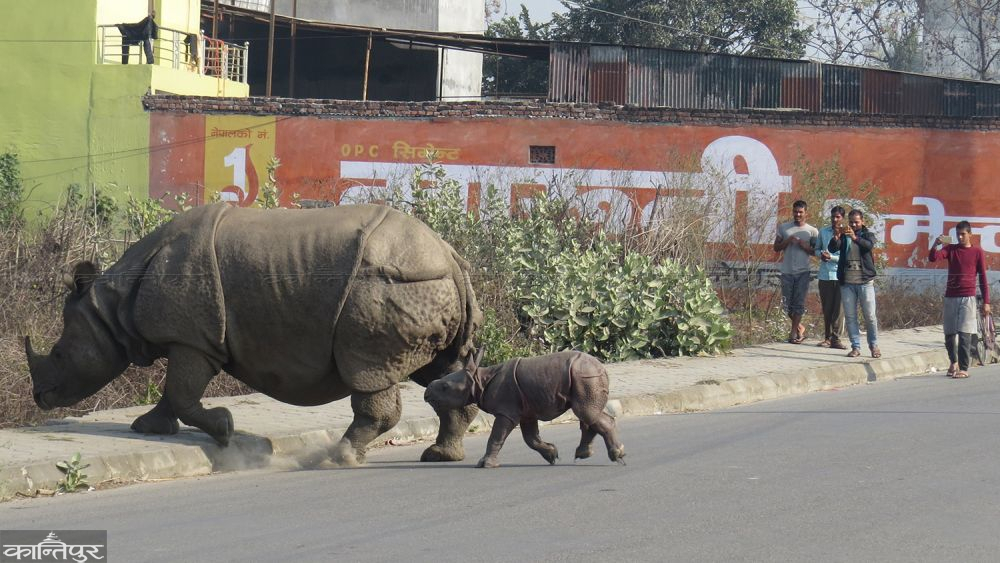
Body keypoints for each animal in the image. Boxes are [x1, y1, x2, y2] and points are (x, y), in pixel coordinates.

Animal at [25, 203, 482, 466]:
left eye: (59, 355)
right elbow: (174, 394)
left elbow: (183, 393)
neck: (111, 305)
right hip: (426, 284)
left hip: (387, 287)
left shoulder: (193, 338)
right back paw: (440, 456)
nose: (39, 396)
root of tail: (450, 256)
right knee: (445, 371)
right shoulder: (191, 338)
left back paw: (336, 458)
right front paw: (148, 428)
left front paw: (224, 430)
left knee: (367, 370)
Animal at [424, 349, 625, 468]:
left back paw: (618, 455)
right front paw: (552, 455)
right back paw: (584, 454)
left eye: (445, 387)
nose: (426, 393)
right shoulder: (526, 412)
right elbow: (531, 438)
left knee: (586, 411)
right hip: (584, 377)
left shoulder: (506, 412)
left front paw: (485, 464)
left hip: (585, 376)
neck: (478, 380)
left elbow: (496, 436)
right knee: (587, 412)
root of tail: (601, 366)